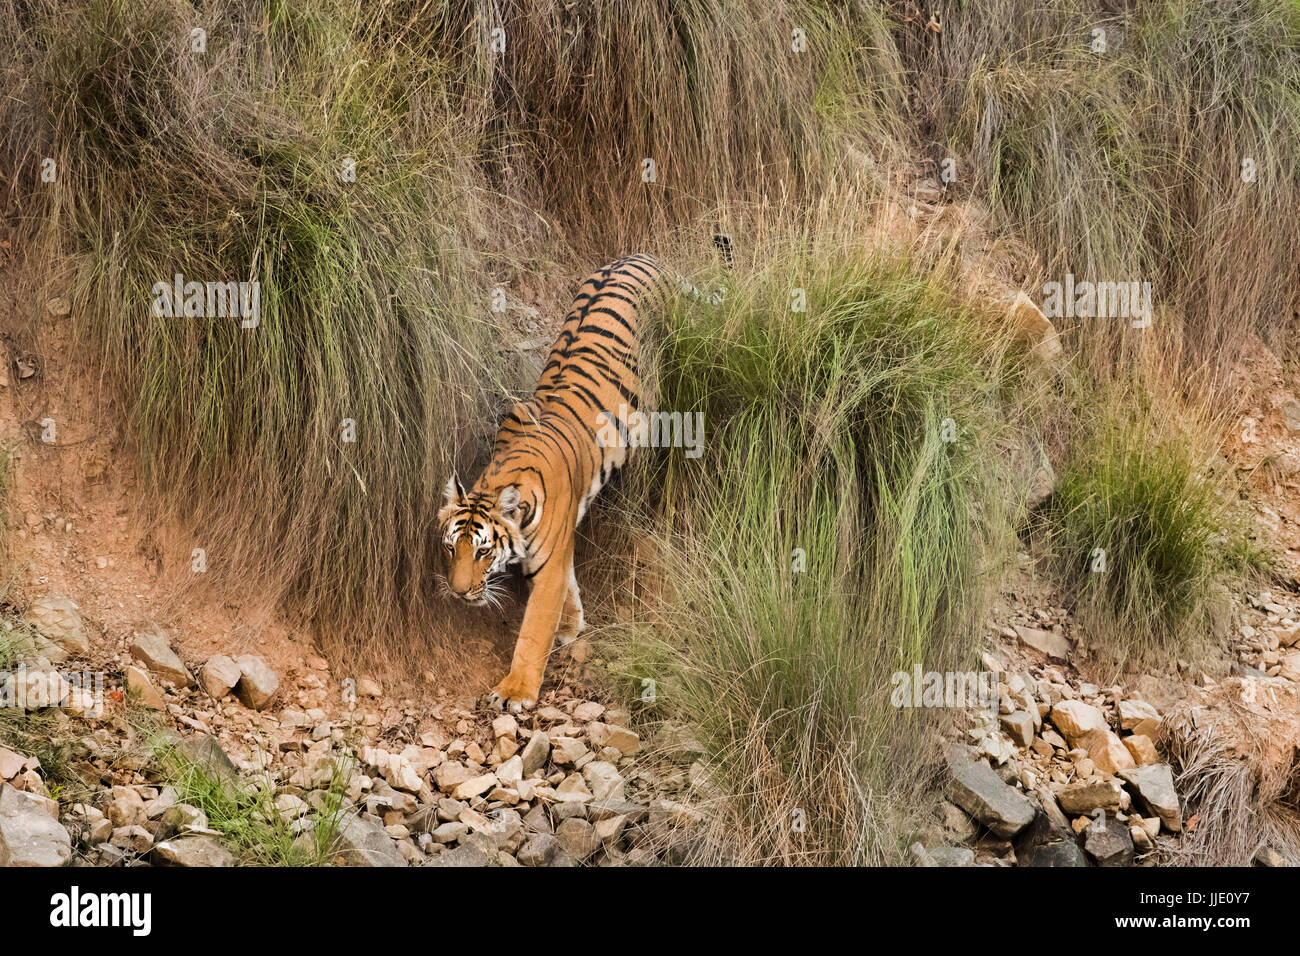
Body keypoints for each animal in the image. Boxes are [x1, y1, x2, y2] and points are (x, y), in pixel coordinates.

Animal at [438, 253, 675, 711]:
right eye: (450, 548)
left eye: (482, 552)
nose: (458, 593)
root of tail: (643, 256)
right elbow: (569, 587)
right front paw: (572, 624)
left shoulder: (548, 564)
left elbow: (534, 629)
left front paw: (515, 691)